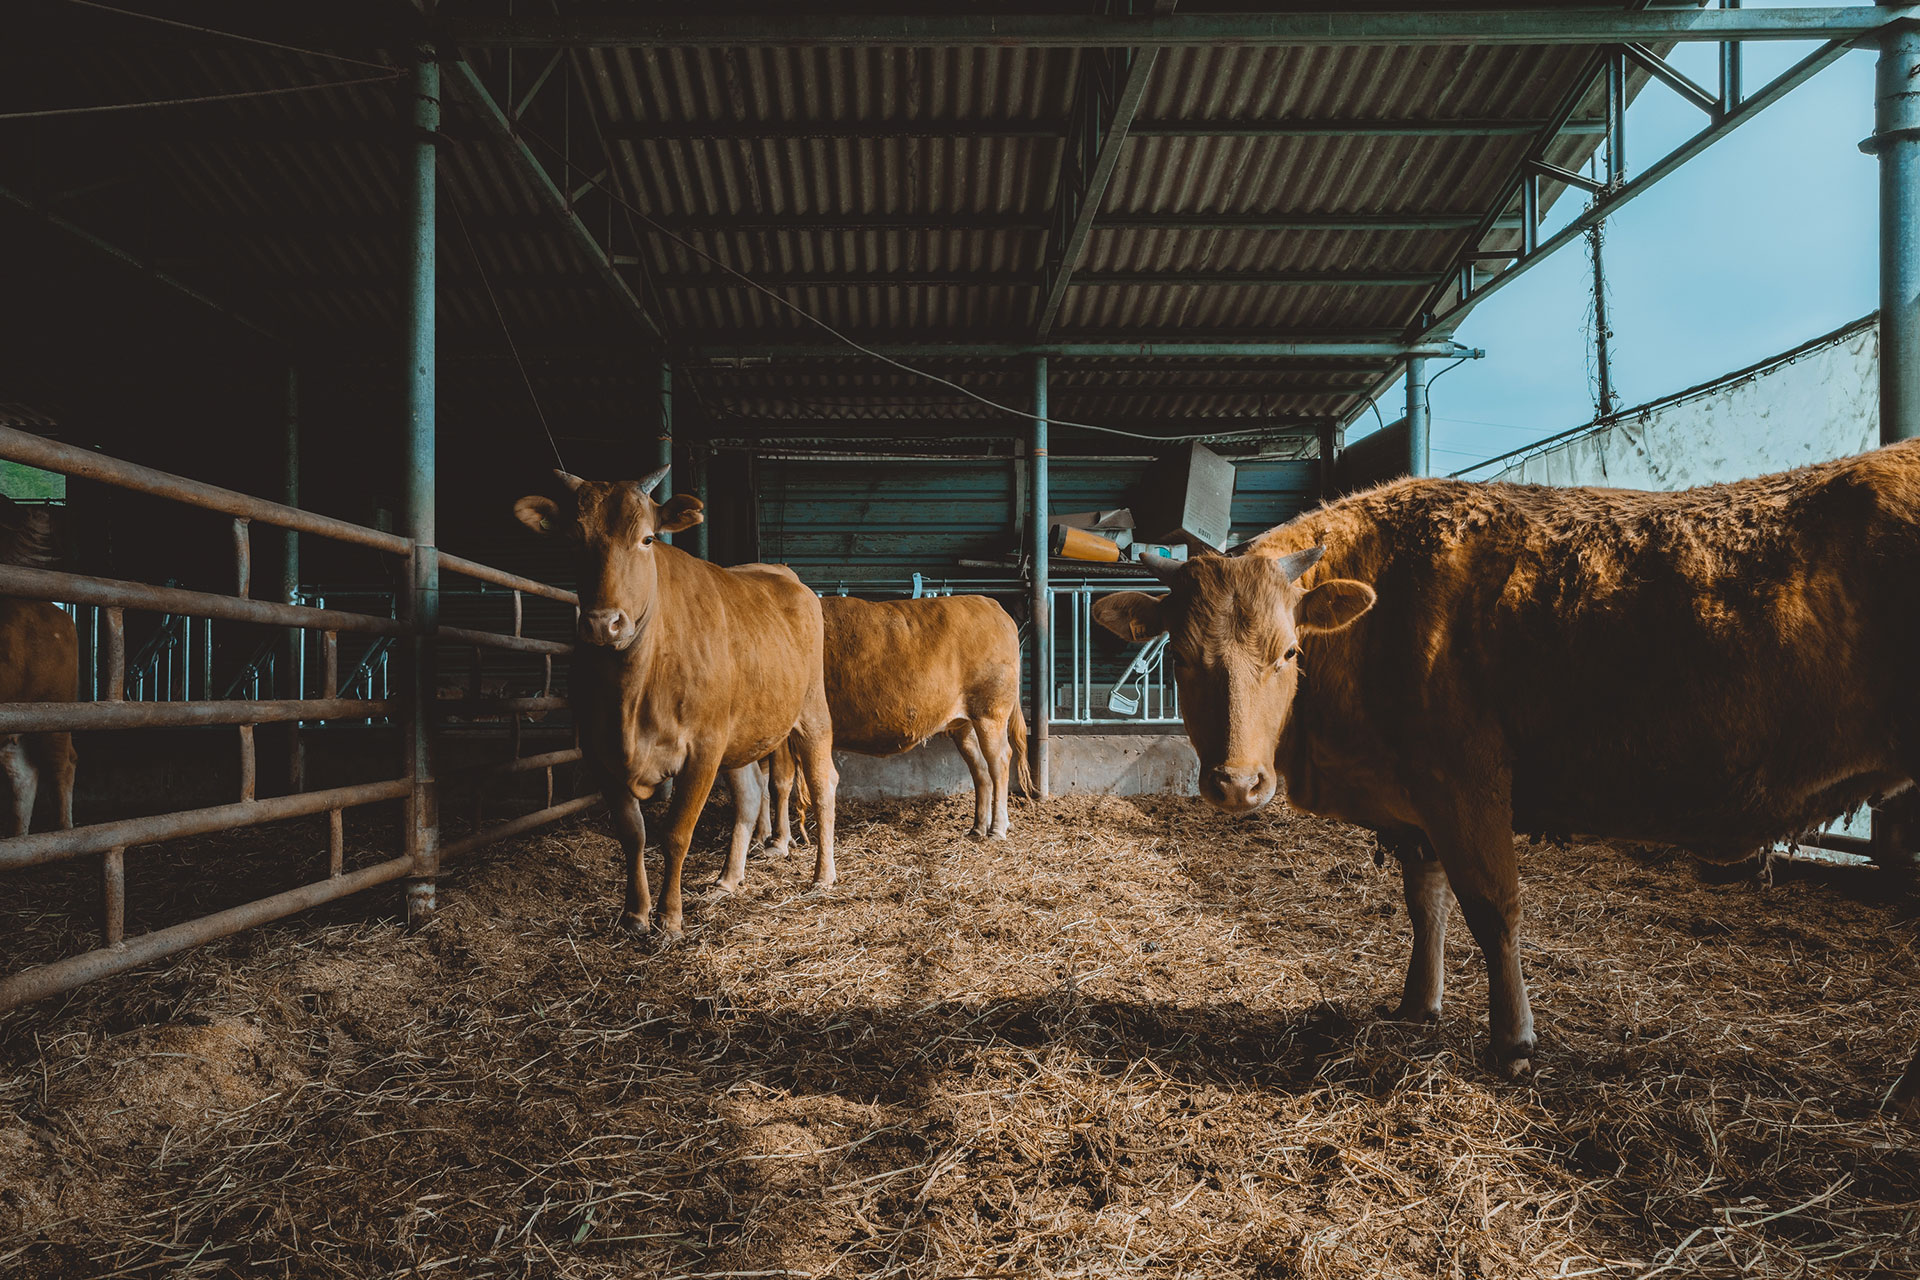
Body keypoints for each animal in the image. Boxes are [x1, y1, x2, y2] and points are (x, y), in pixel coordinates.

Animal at [513, 467, 837, 937]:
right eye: (574, 538)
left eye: (647, 538)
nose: (603, 623)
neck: (631, 695)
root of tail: (784, 575)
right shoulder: (598, 752)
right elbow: (633, 834)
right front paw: (635, 914)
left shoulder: (703, 750)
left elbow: (676, 833)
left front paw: (668, 917)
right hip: (738, 735)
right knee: (750, 796)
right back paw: (728, 880)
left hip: (811, 712)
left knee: (823, 783)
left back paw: (823, 876)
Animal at [756, 594, 1030, 849]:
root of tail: (989, 603)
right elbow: (763, 783)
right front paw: (763, 837)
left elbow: (778, 782)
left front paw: (778, 841)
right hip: (965, 724)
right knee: (981, 769)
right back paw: (978, 827)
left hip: (991, 711)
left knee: (1000, 761)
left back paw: (997, 828)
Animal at [1092, 441, 1920, 1108]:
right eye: (1181, 660)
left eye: (1290, 651)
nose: (1238, 783)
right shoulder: (1415, 803)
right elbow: (1425, 904)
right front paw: (1417, 1004)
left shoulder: (1466, 782)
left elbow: (1492, 909)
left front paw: (1513, 1044)